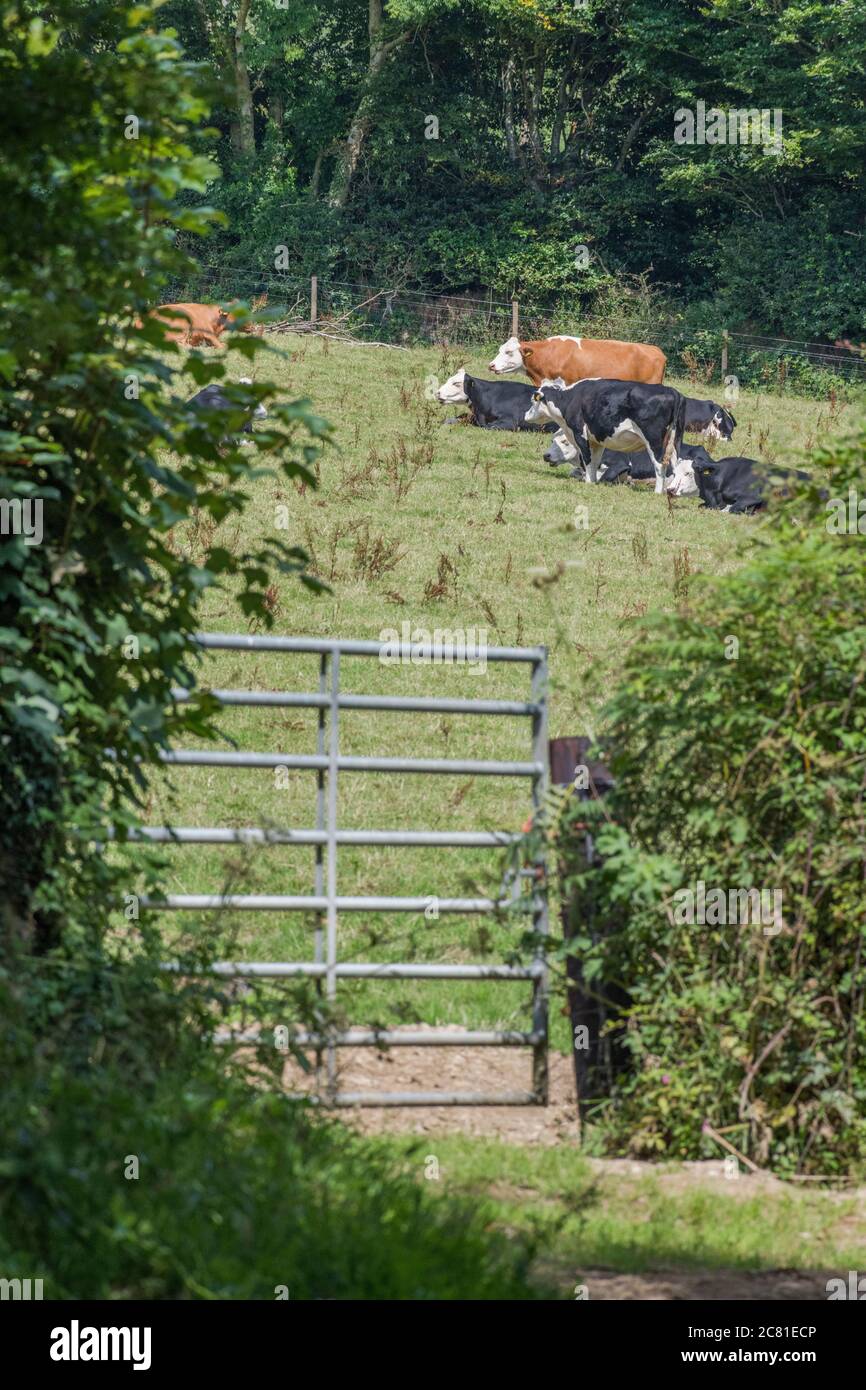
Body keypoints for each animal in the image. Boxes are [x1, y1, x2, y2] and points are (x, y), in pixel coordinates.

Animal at [525, 378, 687, 492]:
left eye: (533, 400)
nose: (526, 415)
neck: (570, 398)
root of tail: (672, 391)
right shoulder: (596, 440)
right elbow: (595, 461)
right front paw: (592, 481)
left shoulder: (580, 434)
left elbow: (587, 459)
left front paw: (588, 481)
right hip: (674, 439)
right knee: (676, 464)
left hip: (653, 440)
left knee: (660, 464)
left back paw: (658, 491)